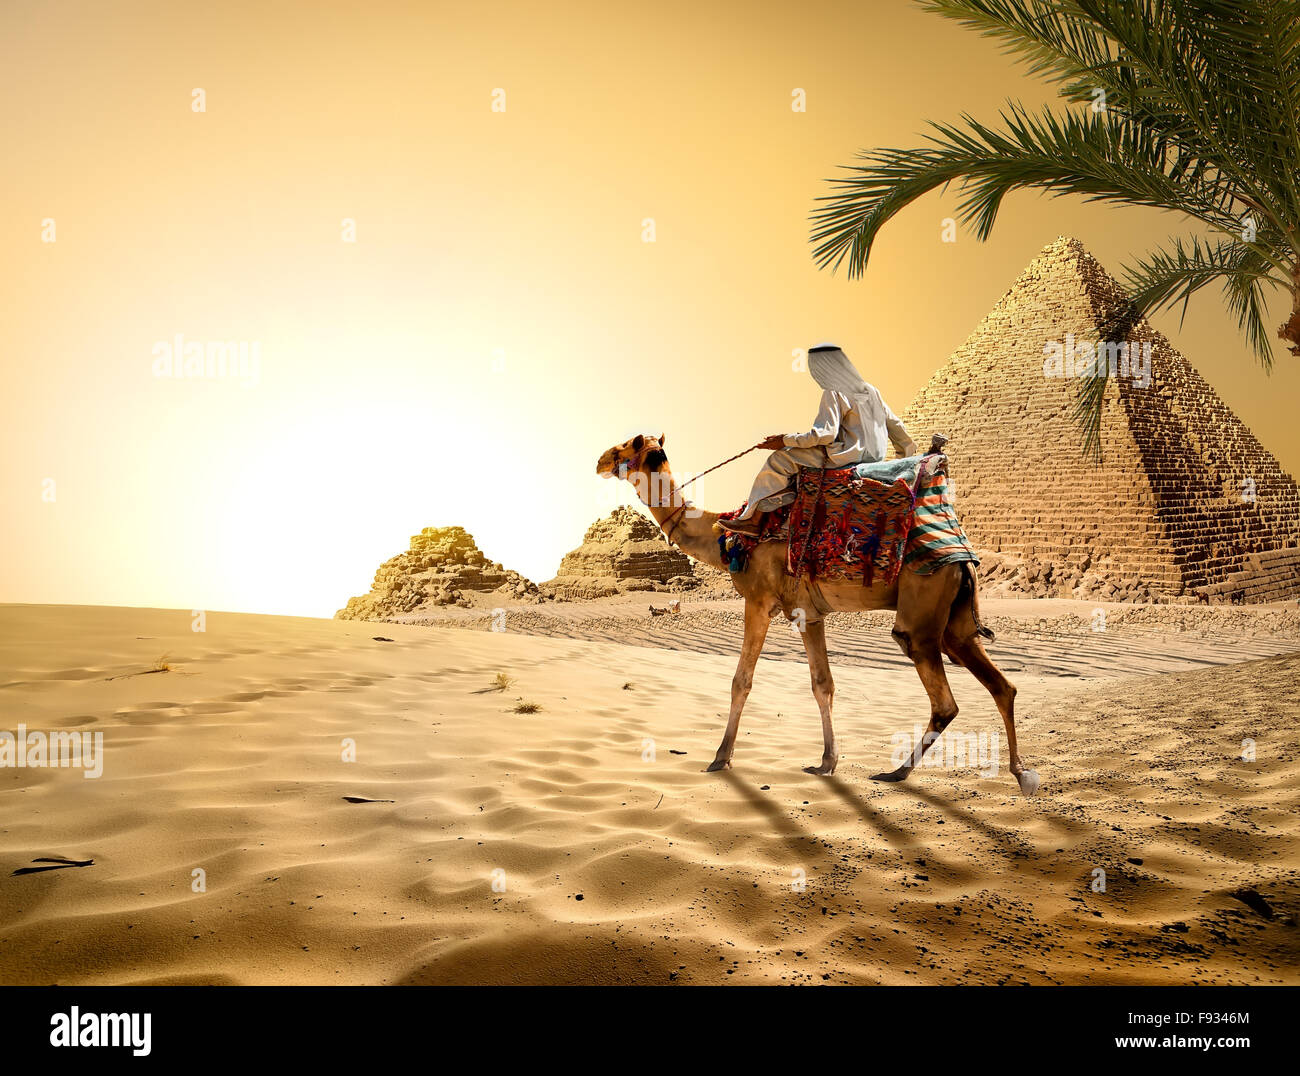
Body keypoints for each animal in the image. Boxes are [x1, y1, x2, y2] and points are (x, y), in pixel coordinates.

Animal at [596, 433, 1039, 796]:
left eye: (627, 445)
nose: (600, 460)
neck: (724, 536)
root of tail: (962, 554)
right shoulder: (809, 613)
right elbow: (822, 684)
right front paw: (827, 761)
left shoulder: (759, 601)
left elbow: (742, 681)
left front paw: (721, 757)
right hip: (956, 622)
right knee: (1002, 686)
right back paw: (1020, 773)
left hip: (922, 612)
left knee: (943, 698)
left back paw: (896, 773)